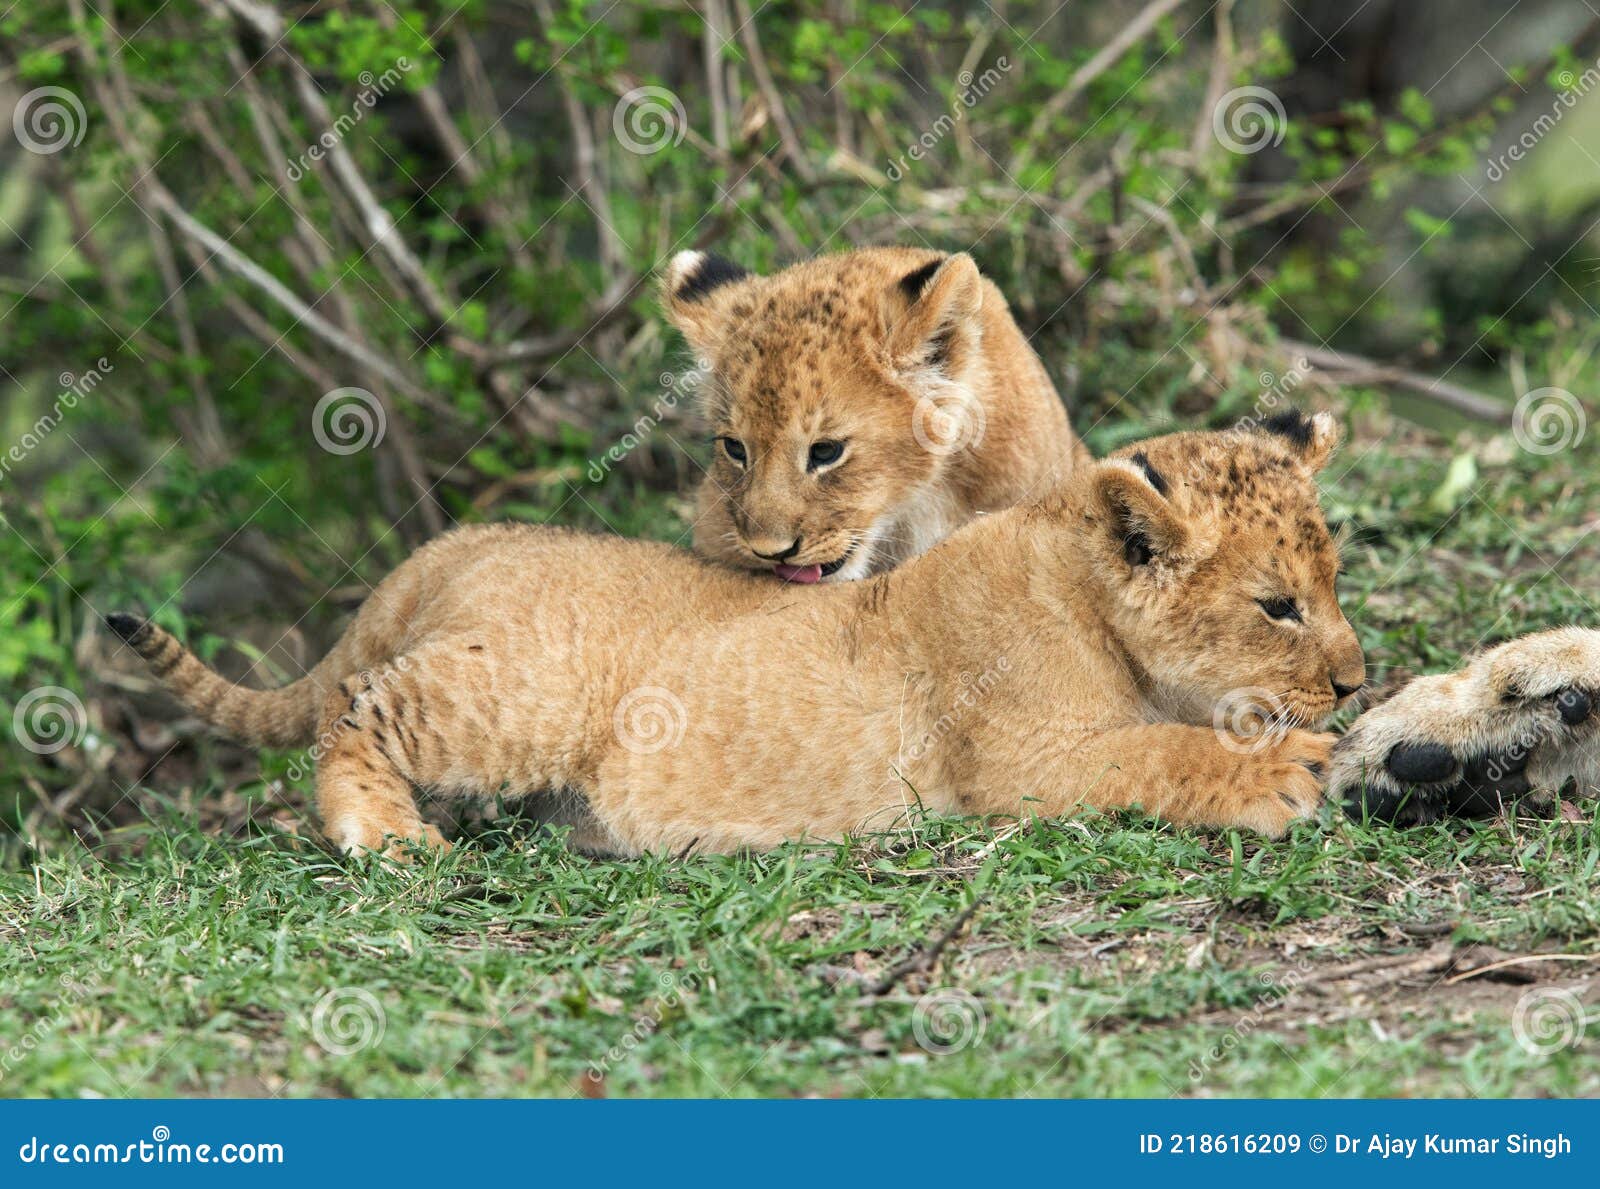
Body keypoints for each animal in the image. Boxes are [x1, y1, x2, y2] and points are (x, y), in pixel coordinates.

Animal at [108, 412, 1364, 858]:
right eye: (1277, 605)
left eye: (1335, 581)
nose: (1356, 684)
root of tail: (454, 543)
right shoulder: (1017, 762)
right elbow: (1154, 751)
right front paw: (1279, 772)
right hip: (514, 695)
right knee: (354, 709)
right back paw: (382, 833)